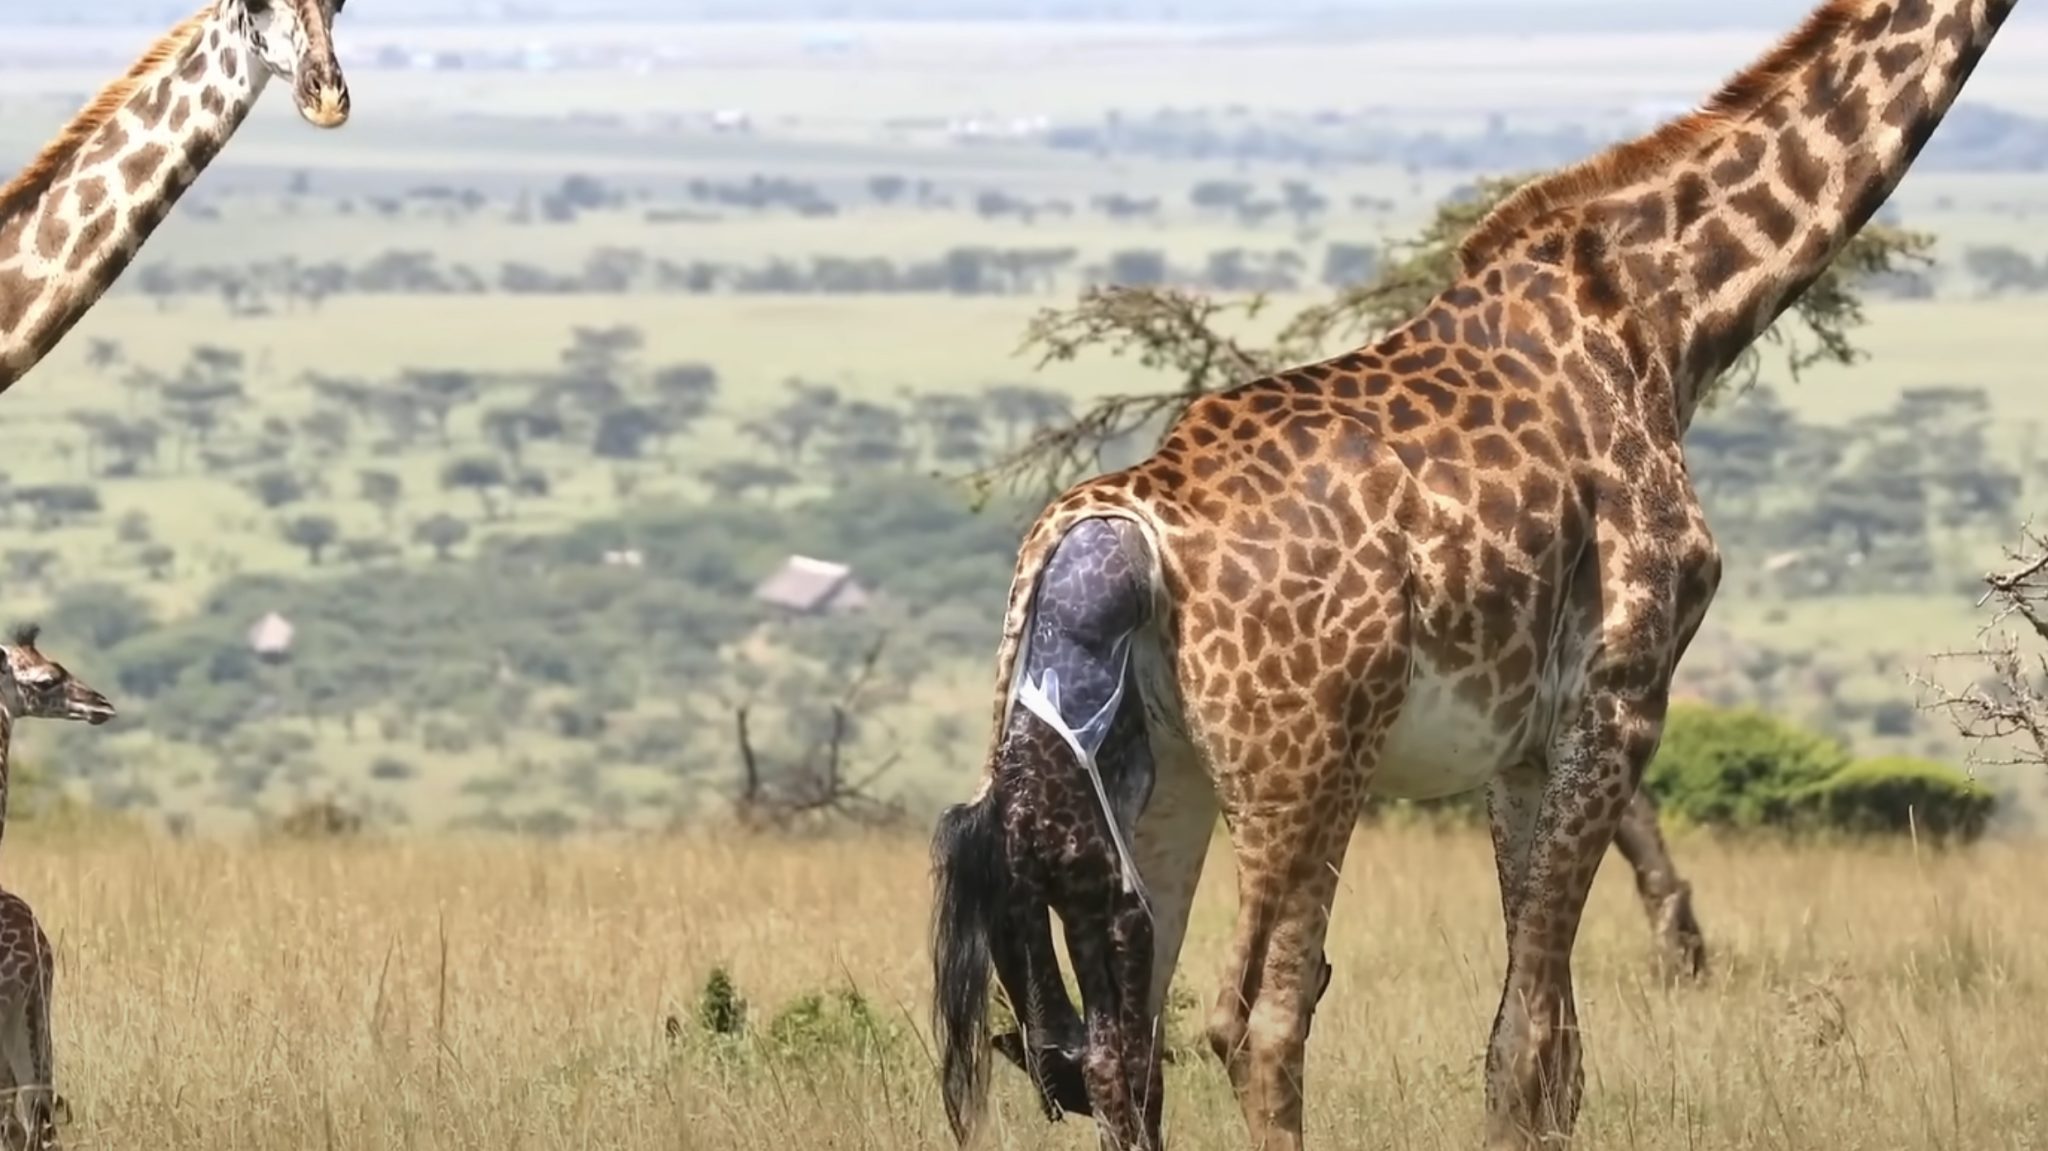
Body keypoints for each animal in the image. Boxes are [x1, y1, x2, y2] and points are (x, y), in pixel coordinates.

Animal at [930, 2, 2013, 1148]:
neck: (1665, 314)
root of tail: (1115, 525)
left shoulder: (1521, 746)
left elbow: (1546, 1049)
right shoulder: (1621, 699)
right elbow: (1529, 1036)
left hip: (1154, 773)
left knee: (1126, 1040)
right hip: (1304, 767)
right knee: (1256, 1016)